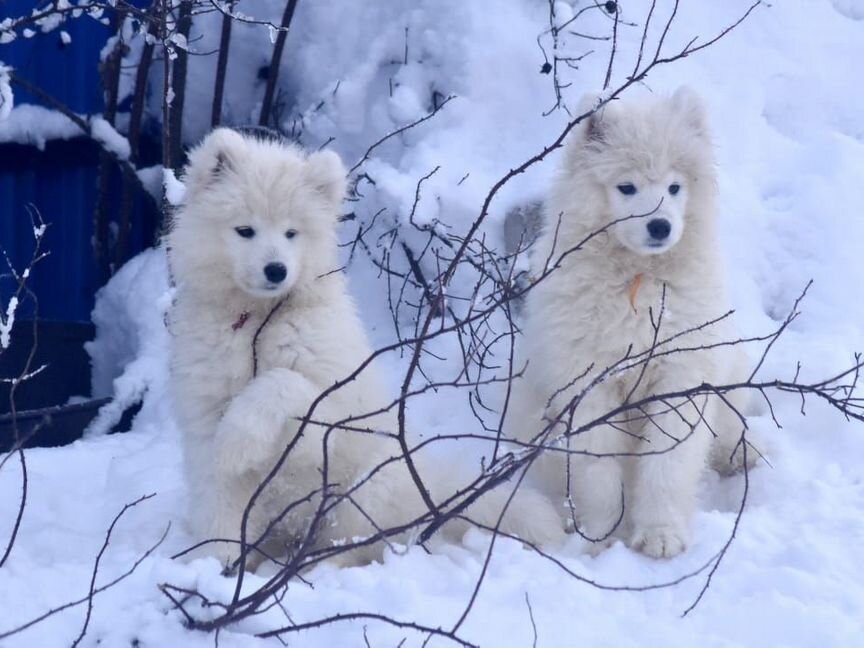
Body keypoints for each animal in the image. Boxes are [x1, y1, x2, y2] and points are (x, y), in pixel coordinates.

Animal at [170, 129, 564, 568]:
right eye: (244, 230)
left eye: (292, 233)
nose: (276, 270)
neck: (256, 319)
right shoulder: (204, 407)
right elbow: (218, 499)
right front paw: (213, 564)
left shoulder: (327, 416)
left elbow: (283, 381)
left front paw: (238, 440)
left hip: (370, 483)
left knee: (355, 542)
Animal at [506, 88, 756, 560]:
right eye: (627, 187)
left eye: (675, 187)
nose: (660, 225)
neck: (638, 277)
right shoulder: (589, 384)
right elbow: (598, 471)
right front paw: (600, 539)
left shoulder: (680, 377)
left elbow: (667, 465)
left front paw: (661, 535)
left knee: (730, 425)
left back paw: (741, 453)